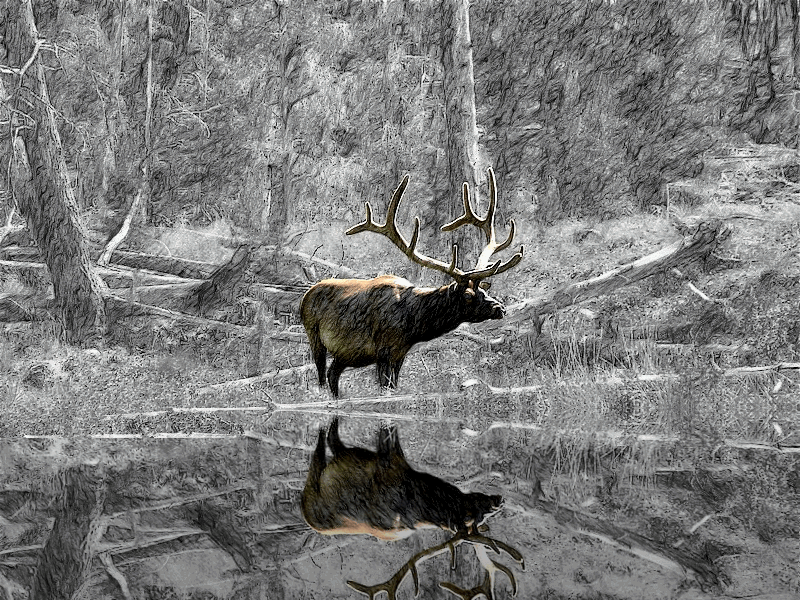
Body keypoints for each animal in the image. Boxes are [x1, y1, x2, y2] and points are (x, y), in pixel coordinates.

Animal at [300, 167, 523, 397]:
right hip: (313, 334)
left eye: (484, 291)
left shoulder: (400, 352)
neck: (412, 324)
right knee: (321, 374)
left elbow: (394, 384)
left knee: (332, 374)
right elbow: (385, 386)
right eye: (469, 295)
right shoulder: (383, 349)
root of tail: (306, 295)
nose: (500, 308)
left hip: (345, 353)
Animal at [301, 417, 524, 599]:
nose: (498, 499)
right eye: (474, 502)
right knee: (322, 453)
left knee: (329, 446)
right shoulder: (388, 464)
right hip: (317, 492)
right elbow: (387, 434)